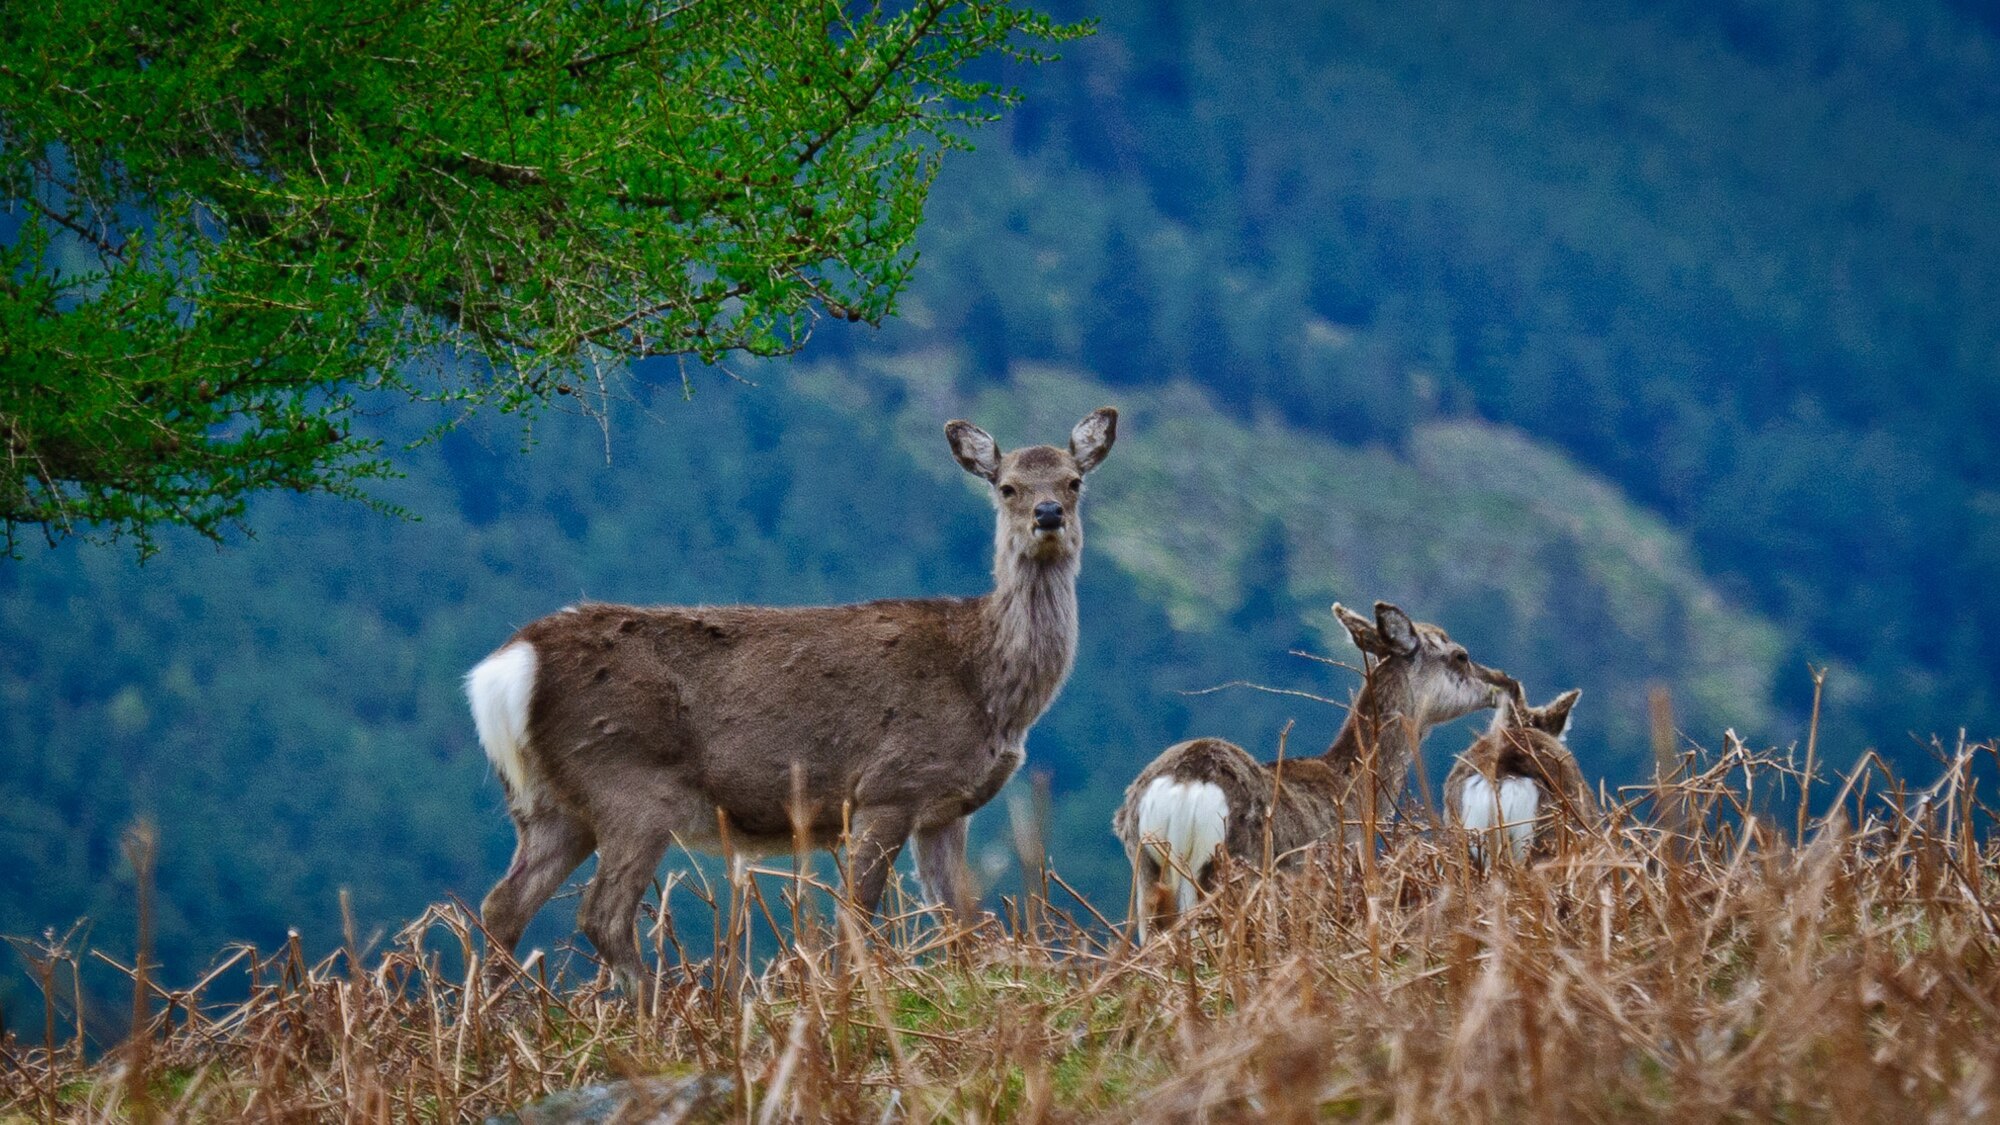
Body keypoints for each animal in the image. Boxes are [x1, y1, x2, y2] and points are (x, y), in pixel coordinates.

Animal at [465, 408, 1118, 993]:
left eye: (1074, 481)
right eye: (1007, 487)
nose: (1048, 514)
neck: (988, 689)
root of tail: (508, 666)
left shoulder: (945, 810)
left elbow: (962, 921)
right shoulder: (887, 787)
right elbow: (857, 914)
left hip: (549, 805)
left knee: (502, 906)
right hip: (631, 785)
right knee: (600, 914)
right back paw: (657, 1014)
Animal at [1112, 601, 1512, 939]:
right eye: (1460, 656)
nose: (1504, 681)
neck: (1357, 794)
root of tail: (1185, 783)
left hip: (1146, 873)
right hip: (1228, 870)